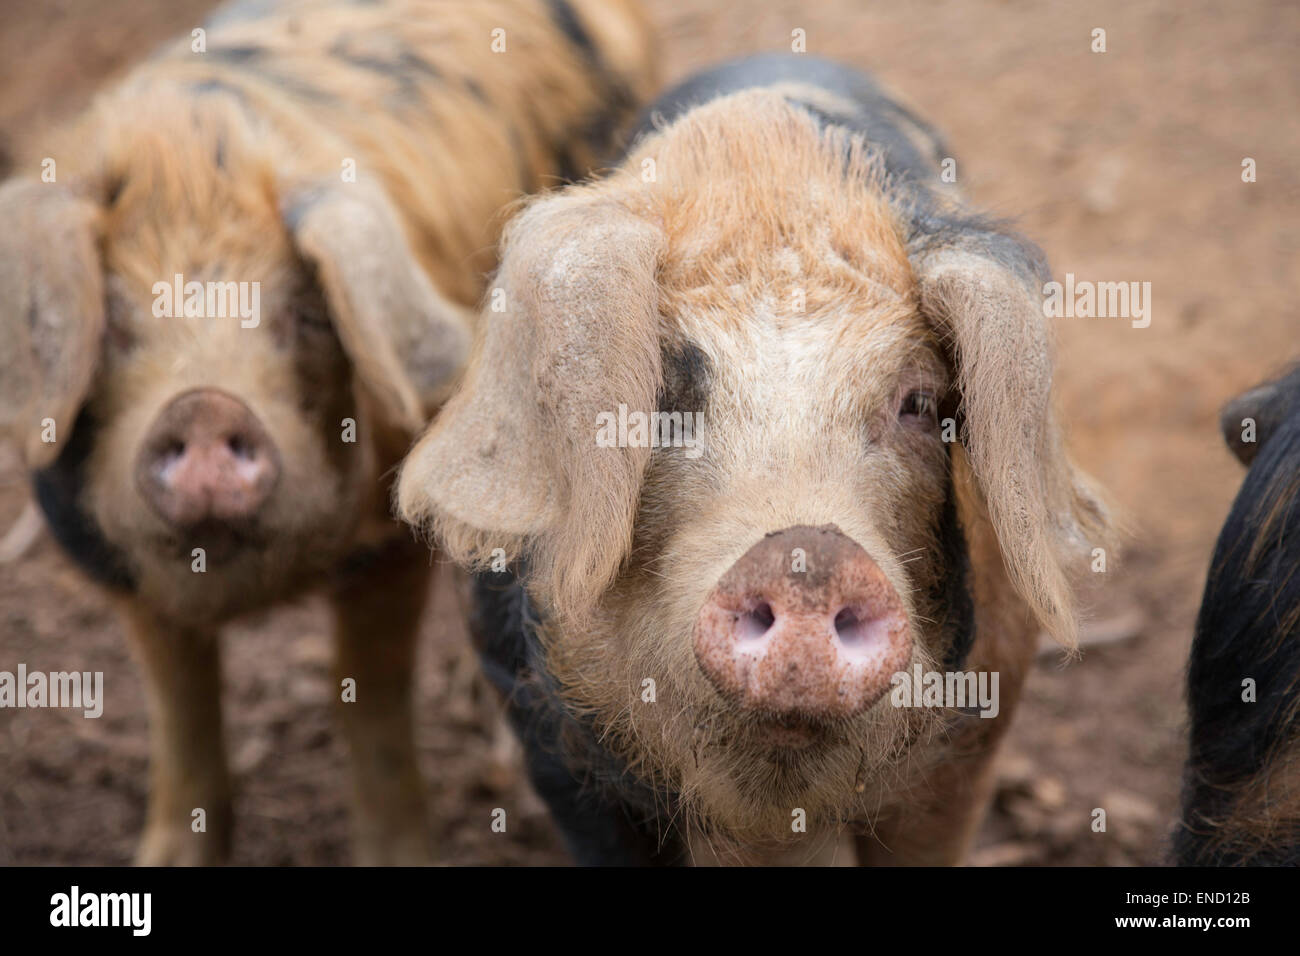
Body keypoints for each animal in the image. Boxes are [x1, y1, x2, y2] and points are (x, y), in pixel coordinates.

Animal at [0, 0, 657, 864]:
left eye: (304, 315)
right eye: (111, 326)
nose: (203, 407)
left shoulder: (386, 544)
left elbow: (369, 698)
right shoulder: (116, 564)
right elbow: (181, 712)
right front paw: (165, 857)